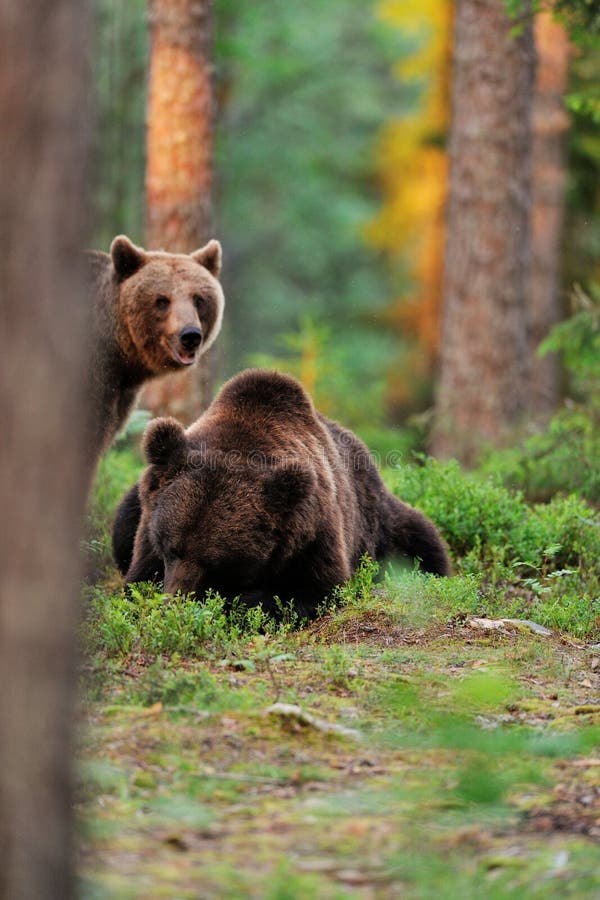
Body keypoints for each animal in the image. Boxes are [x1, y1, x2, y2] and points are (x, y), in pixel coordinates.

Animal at [112, 369, 451, 620]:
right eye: (170, 548)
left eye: (218, 563)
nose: (176, 600)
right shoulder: (146, 526)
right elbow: (137, 581)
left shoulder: (314, 533)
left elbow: (313, 592)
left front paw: (238, 601)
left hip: (381, 521)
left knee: (423, 542)